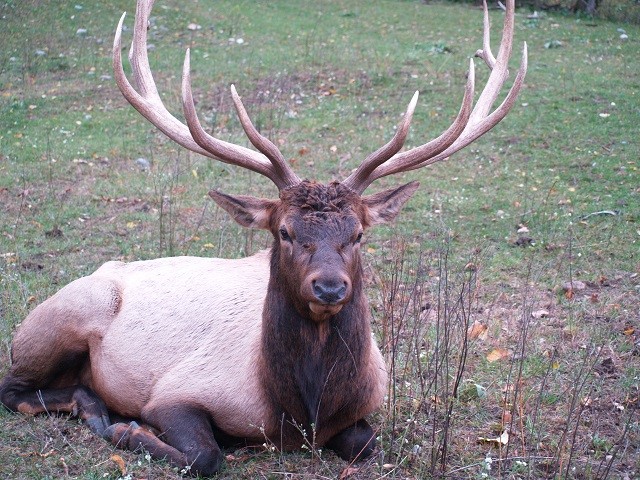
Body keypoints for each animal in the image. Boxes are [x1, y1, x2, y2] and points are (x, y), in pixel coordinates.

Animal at [0, 0, 526, 476]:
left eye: (358, 234)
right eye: (285, 231)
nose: (329, 287)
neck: (300, 410)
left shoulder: (367, 406)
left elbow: (365, 445)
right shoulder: (175, 391)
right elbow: (204, 455)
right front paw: (129, 429)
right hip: (59, 319)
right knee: (13, 389)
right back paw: (93, 407)